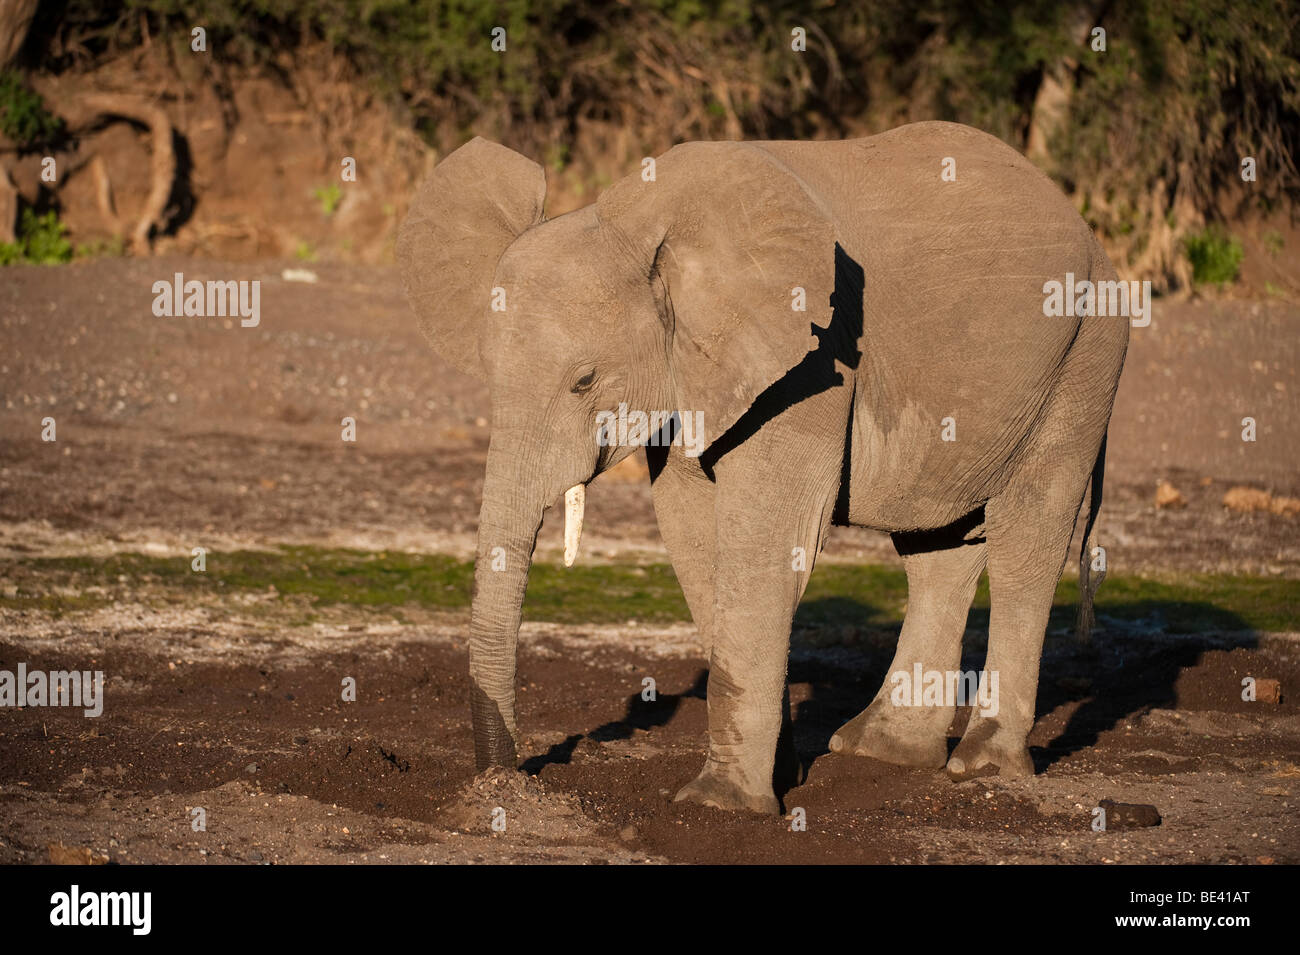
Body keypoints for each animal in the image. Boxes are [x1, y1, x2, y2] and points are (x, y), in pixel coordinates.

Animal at [396, 120, 1129, 814]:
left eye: (584, 381)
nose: (506, 776)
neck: (644, 229)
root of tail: (1089, 232)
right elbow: (696, 537)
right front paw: (781, 774)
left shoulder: (817, 356)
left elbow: (769, 540)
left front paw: (719, 805)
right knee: (939, 547)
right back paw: (883, 749)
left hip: (1083, 354)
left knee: (1025, 537)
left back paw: (982, 766)